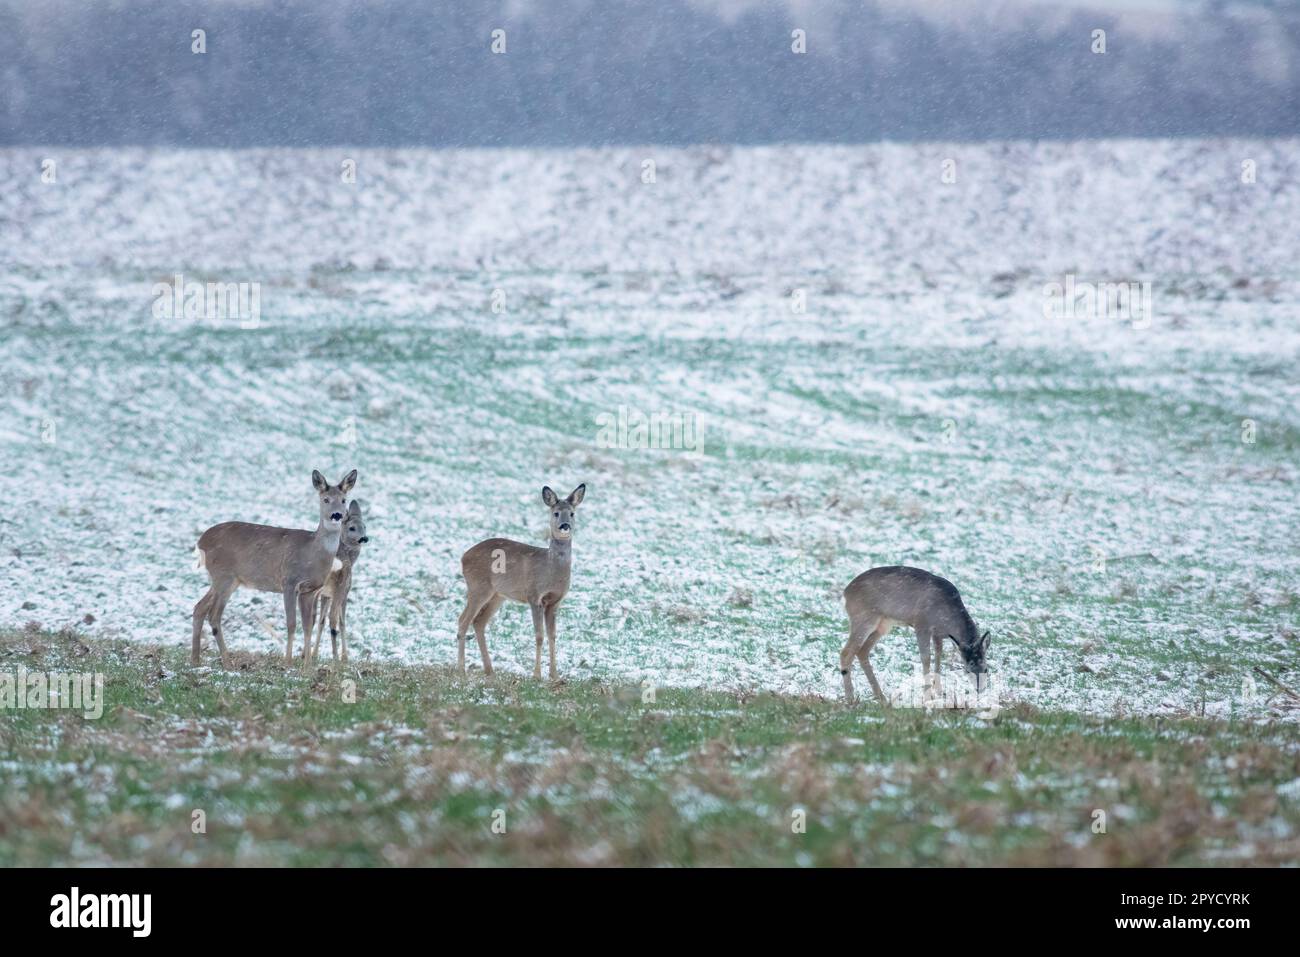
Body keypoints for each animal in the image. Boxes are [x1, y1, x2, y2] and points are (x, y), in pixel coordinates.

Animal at [192, 469, 357, 668]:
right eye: (325, 499)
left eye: (343, 499)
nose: (337, 515)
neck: (312, 553)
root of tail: (201, 541)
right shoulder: (289, 581)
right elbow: (292, 623)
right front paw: (288, 662)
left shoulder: (311, 590)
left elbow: (308, 625)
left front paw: (307, 665)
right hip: (224, 575)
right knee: (214, 614)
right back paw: (226, 662)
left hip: (227, 580)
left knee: (199, 607)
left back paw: (195, 660)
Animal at [311, 499, 369, 664]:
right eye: (352, 528)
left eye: (365, 526)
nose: (364, 538)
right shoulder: (344, 591)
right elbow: (342, 623)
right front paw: (345, 657)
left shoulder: (325, 594)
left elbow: (321, 621)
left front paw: (314, 655)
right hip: (338, 588)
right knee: (333, 620)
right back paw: (336, 658)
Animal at [457, 483, 586, 681]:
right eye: (556, 513)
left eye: (572, 513)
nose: (565, 526)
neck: (550, 571)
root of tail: (463, 557)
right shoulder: (534, 595)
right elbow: (539, 635)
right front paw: (536, 675)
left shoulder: (555, 602)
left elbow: (553, 635)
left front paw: (555, 676)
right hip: (478, 587)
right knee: (463, 620)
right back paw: (461, 671)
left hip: (497, 595)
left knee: (478, 622)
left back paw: (490, 671)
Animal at [839, 565, 989, 707]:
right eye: (967, 670)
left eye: (986, 669)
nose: (980, 689)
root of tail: (846, 593)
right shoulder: (921, 625)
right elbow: (926, 658)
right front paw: (927, 698)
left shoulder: (937, 634)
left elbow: (938, 656)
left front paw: (940, 692)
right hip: (863, 618)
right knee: (846, 652)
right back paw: (850, 698)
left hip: (883, 625)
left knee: (862, 651)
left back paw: (882, 698)